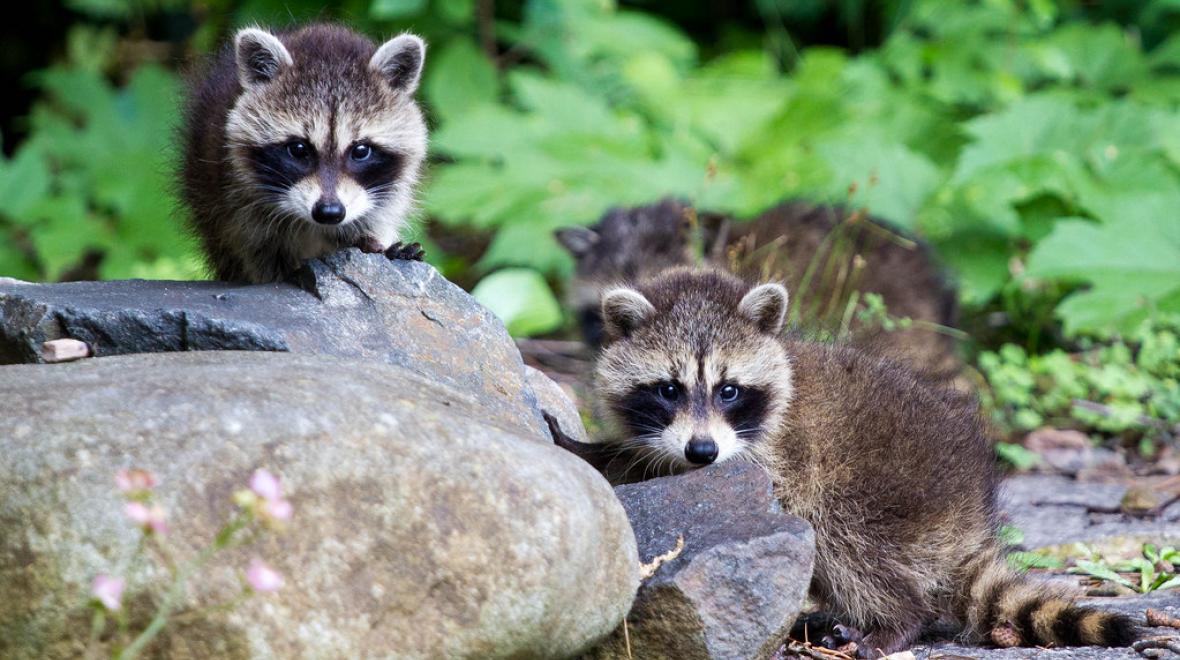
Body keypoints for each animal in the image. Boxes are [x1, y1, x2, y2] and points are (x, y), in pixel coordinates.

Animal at [181, 24, 429, 283]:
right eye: (298, 149)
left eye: (361, 151)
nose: (329, 212)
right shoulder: (236, 206)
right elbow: (259, 254)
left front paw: (375, 243)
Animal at [582, 267, 1136, 657]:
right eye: (669, 389)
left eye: (729, 390)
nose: (702, 451)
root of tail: (970, 521)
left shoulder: (775, 457)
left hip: (877, 491)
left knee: (850, 546)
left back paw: (896, 621)